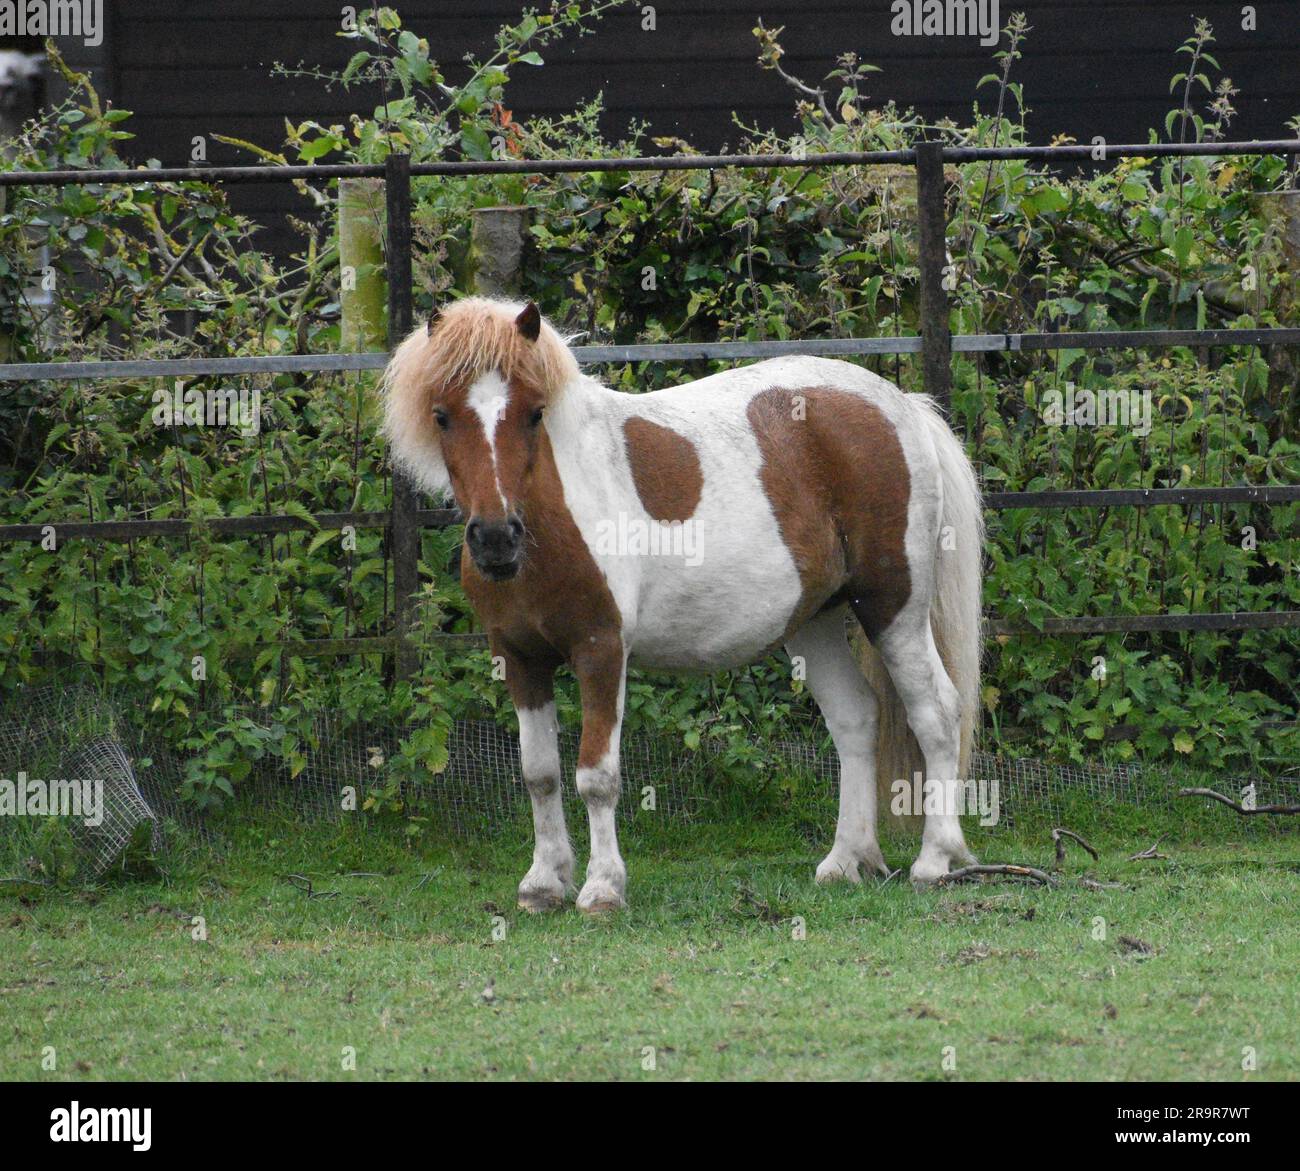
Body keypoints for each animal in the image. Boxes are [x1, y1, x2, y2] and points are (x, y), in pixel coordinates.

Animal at [383, 298, 983, 913]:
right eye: (442, 415)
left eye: (533, 413)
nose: (496, 538)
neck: (556, 509)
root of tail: (904, 408)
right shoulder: (519, 657)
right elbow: (539, 773)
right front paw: (544, 883)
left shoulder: (600, 650)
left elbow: (595, 775)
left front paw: (602, 888)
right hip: (816, 619)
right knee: (856, 719)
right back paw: (846, 861)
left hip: (894, 608)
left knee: (937, 714)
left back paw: (935, 859)